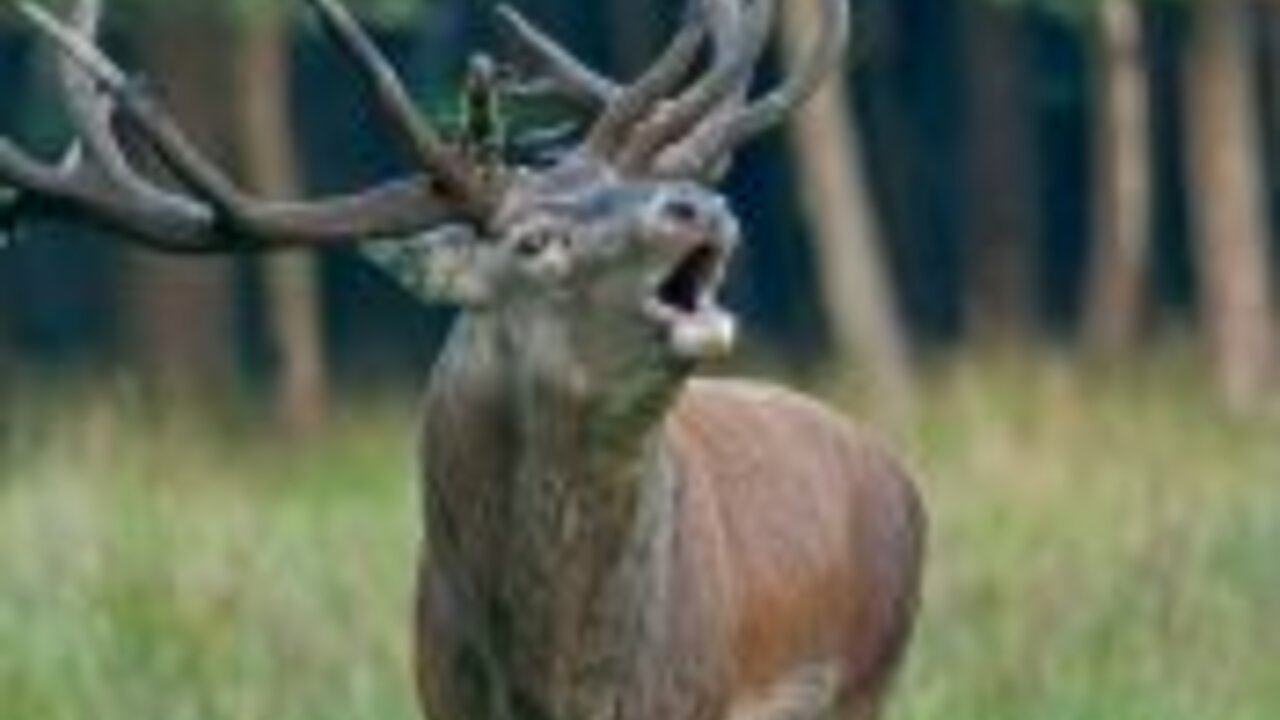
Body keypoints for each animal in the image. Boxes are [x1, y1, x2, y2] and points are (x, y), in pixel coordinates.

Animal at [0, 0, 926, 718]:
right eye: (533, 241)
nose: (697, 203)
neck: (563, 685)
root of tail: (896, 474)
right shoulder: (439, 691)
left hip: (869, 679)